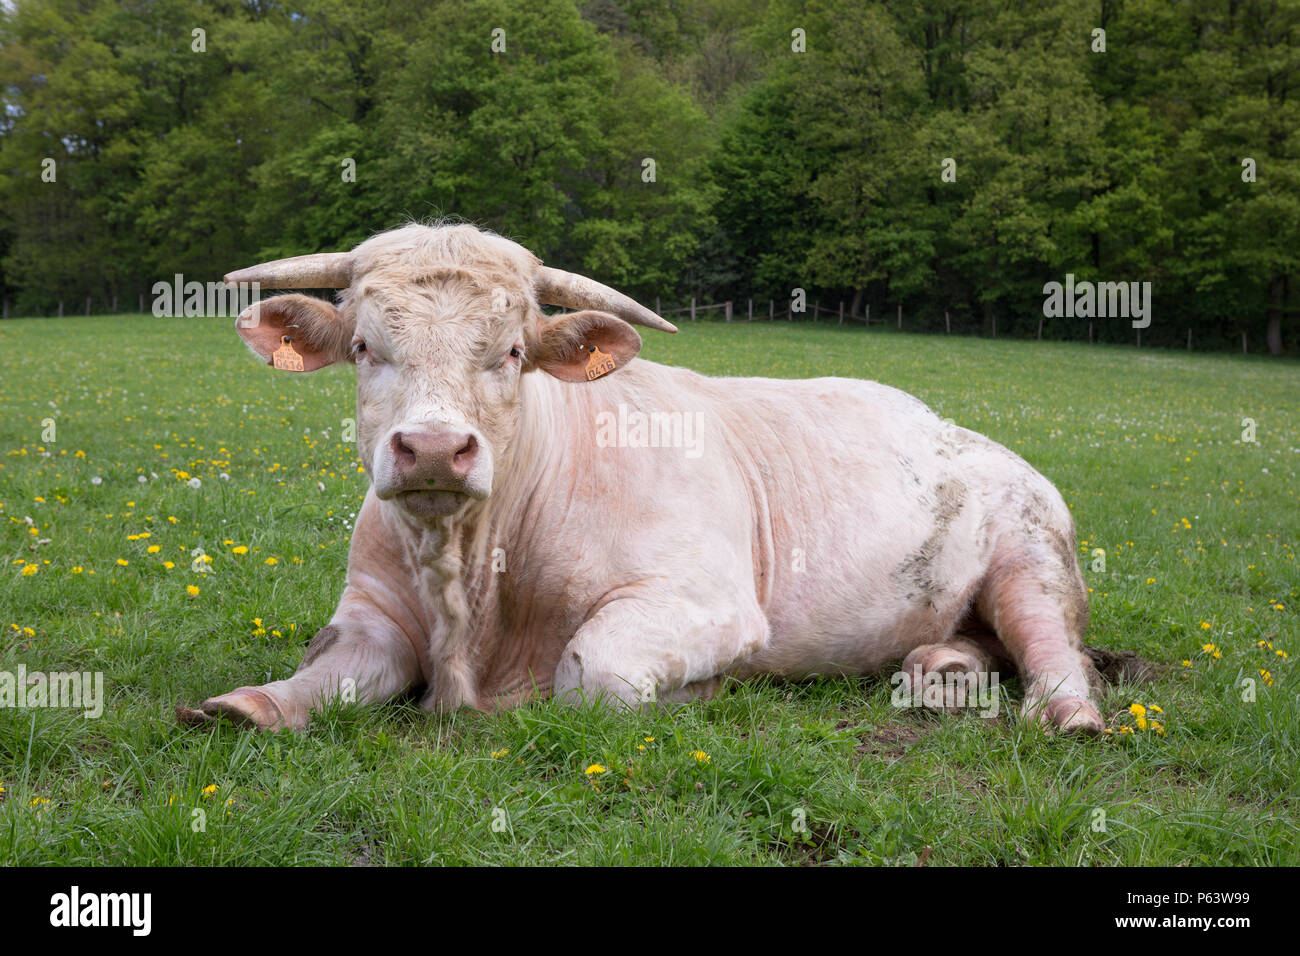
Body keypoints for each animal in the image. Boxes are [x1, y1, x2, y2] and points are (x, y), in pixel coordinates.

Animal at [176, 222, 1105, 735]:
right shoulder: (373, 611)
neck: (470, 597)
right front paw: (250, 702)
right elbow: (326, 672)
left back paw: (1069, 715)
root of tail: (969, 435)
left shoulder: (706, 602)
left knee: (1052, 648)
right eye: (366, 346)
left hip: (1033, 556)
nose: (435, 449)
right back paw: (941, 670)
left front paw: (700, 693)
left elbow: (594, 672)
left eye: (512, 352)